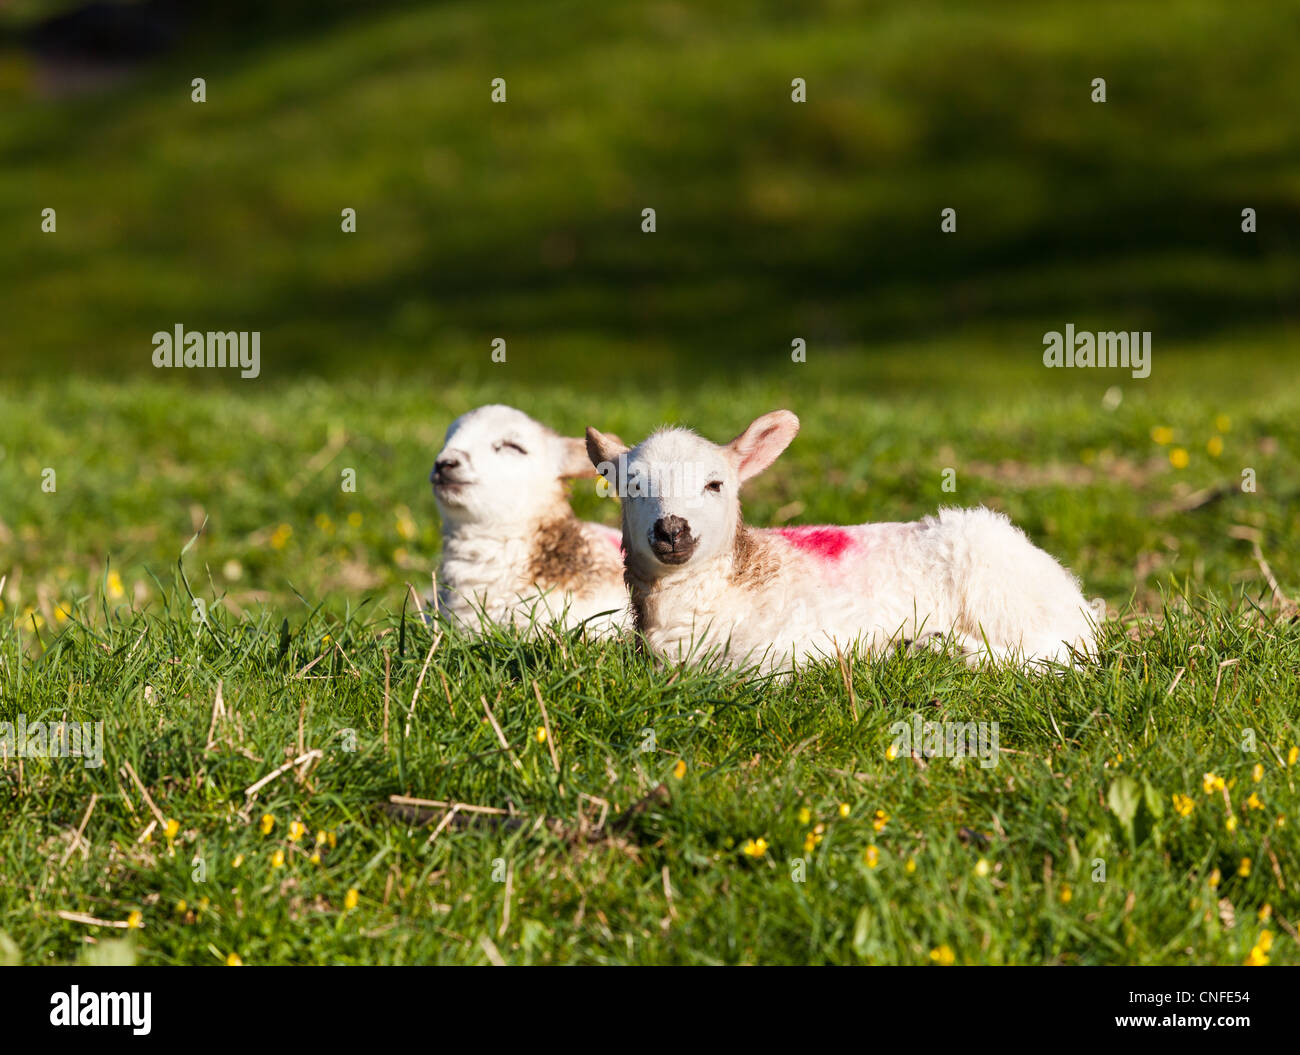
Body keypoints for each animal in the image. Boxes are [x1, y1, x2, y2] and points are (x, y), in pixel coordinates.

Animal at [585, 409, 1097, 673]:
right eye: (632, 485)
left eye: (715, 484)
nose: (672, 529)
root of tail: (1074, 595)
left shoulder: (796, 642)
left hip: (1004, 591)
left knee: (1056, 653)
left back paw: (947, 649)